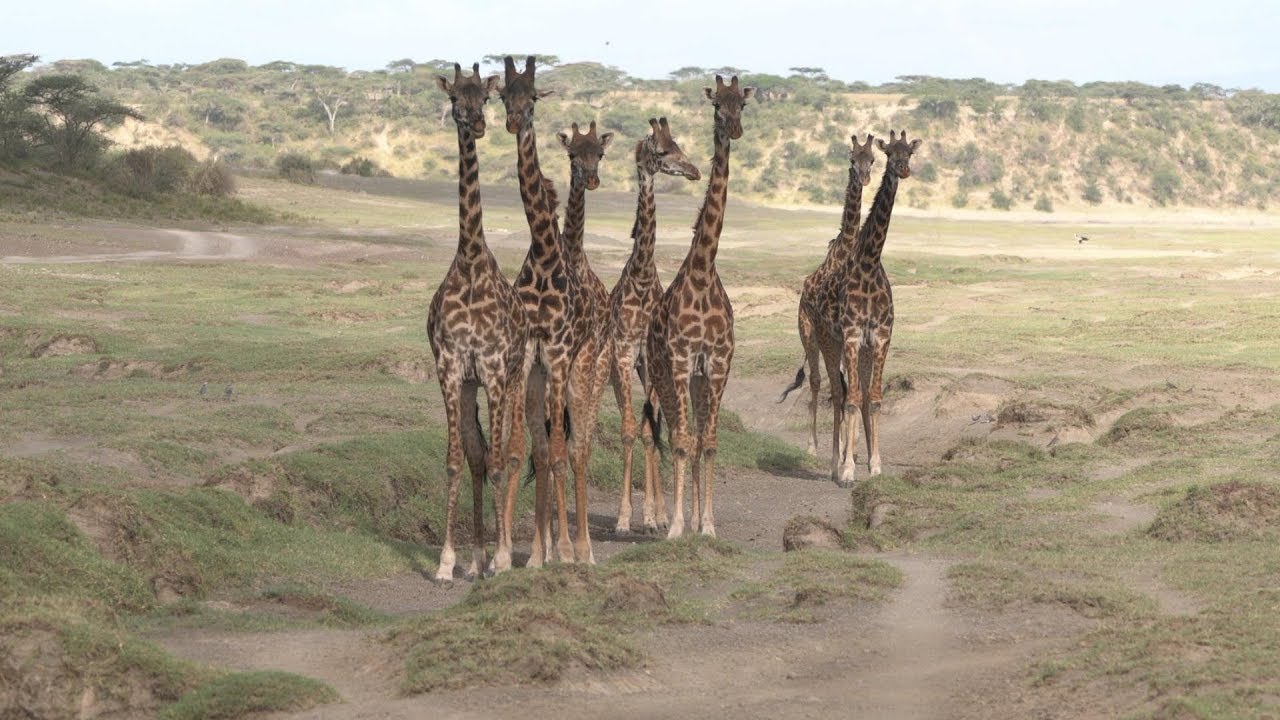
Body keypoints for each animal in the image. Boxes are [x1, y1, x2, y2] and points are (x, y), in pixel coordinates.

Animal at [779, 134, 876, 477]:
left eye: (872, 158)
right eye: (851, 158)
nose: (864, 177)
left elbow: (851, 391)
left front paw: (854, 452)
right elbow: (838, 389)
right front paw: (840, 456)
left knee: (841, 386)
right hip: (807, 332)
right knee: (817, 380)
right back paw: (813, 446)